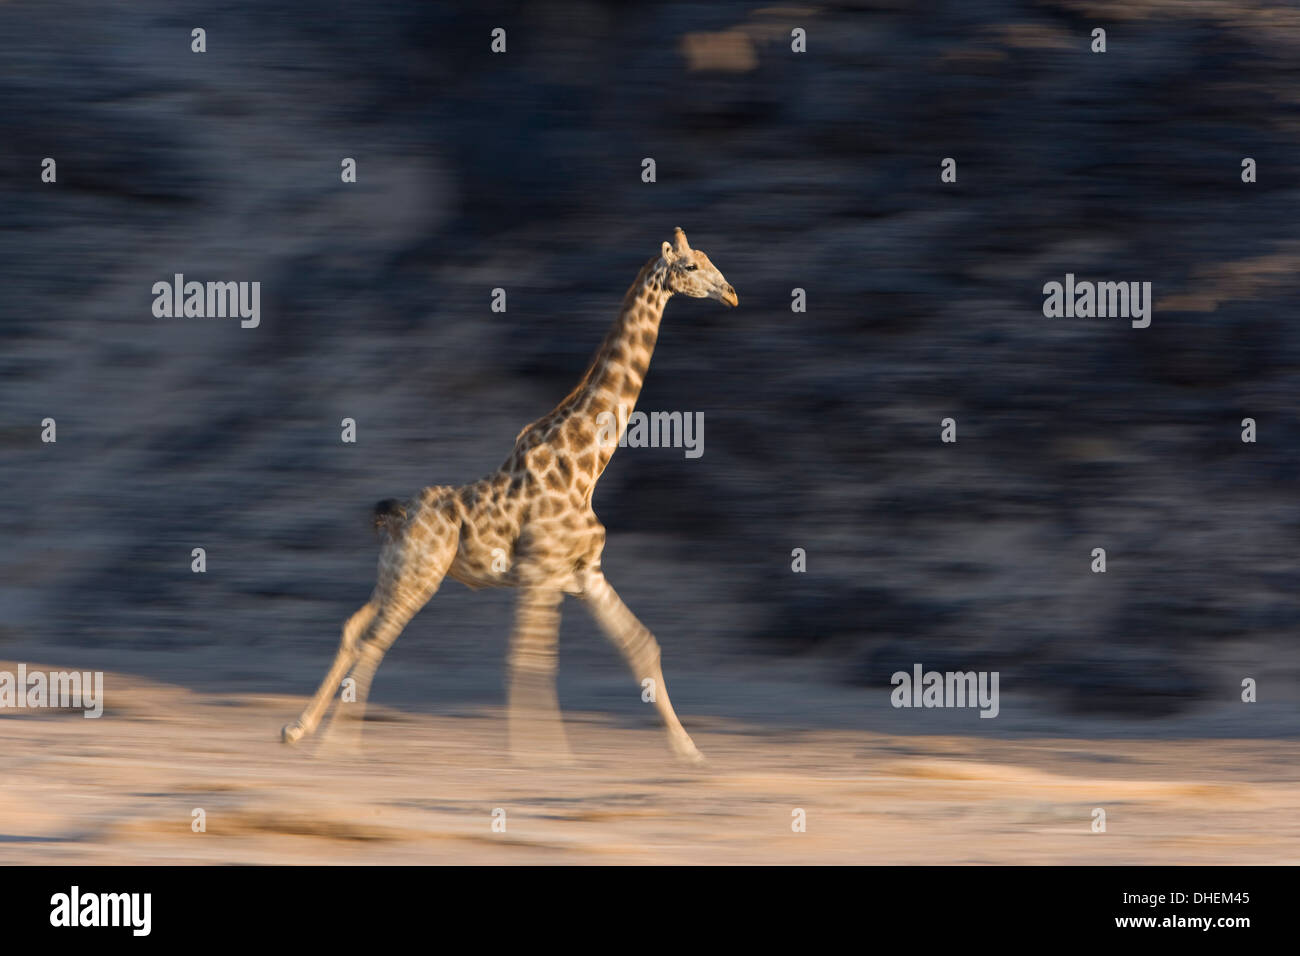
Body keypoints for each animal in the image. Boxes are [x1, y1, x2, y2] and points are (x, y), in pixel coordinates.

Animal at [281, 228, 737, 765]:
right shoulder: (541, 574)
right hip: (420, 575)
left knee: (354, 629)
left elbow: (641, 645)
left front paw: (690, 752)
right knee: (375, 641)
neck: (586, 467)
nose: (731, 293)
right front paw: (543, 755)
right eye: (689, 266)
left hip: (397, 574)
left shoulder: (585, 573)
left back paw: (298, 729)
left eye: (708, 258)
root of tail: (396, 517)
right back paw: (336, 745)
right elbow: (531, 660)